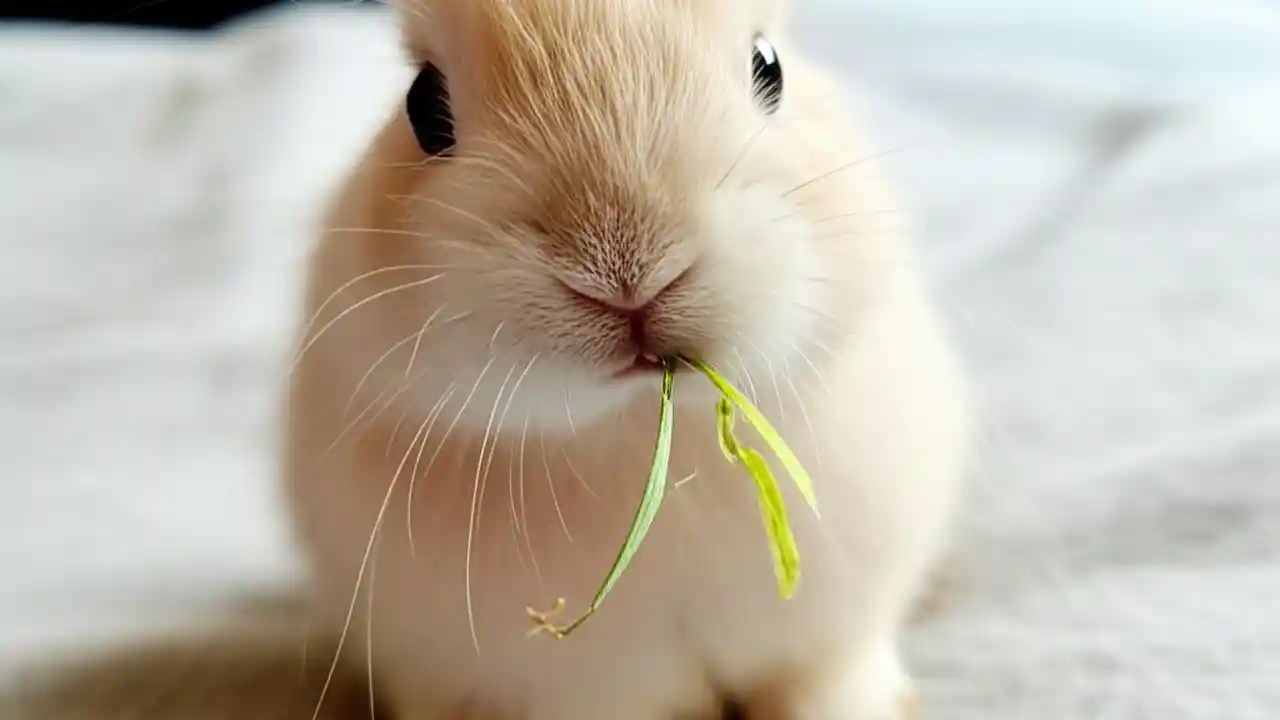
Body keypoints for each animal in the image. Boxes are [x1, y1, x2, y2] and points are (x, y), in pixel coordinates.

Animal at [284, 0, 968, 718]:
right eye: (423, 107)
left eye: (769, 68)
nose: (628, 270)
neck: (641, 431)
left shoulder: (827, 641)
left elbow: (823, 689)